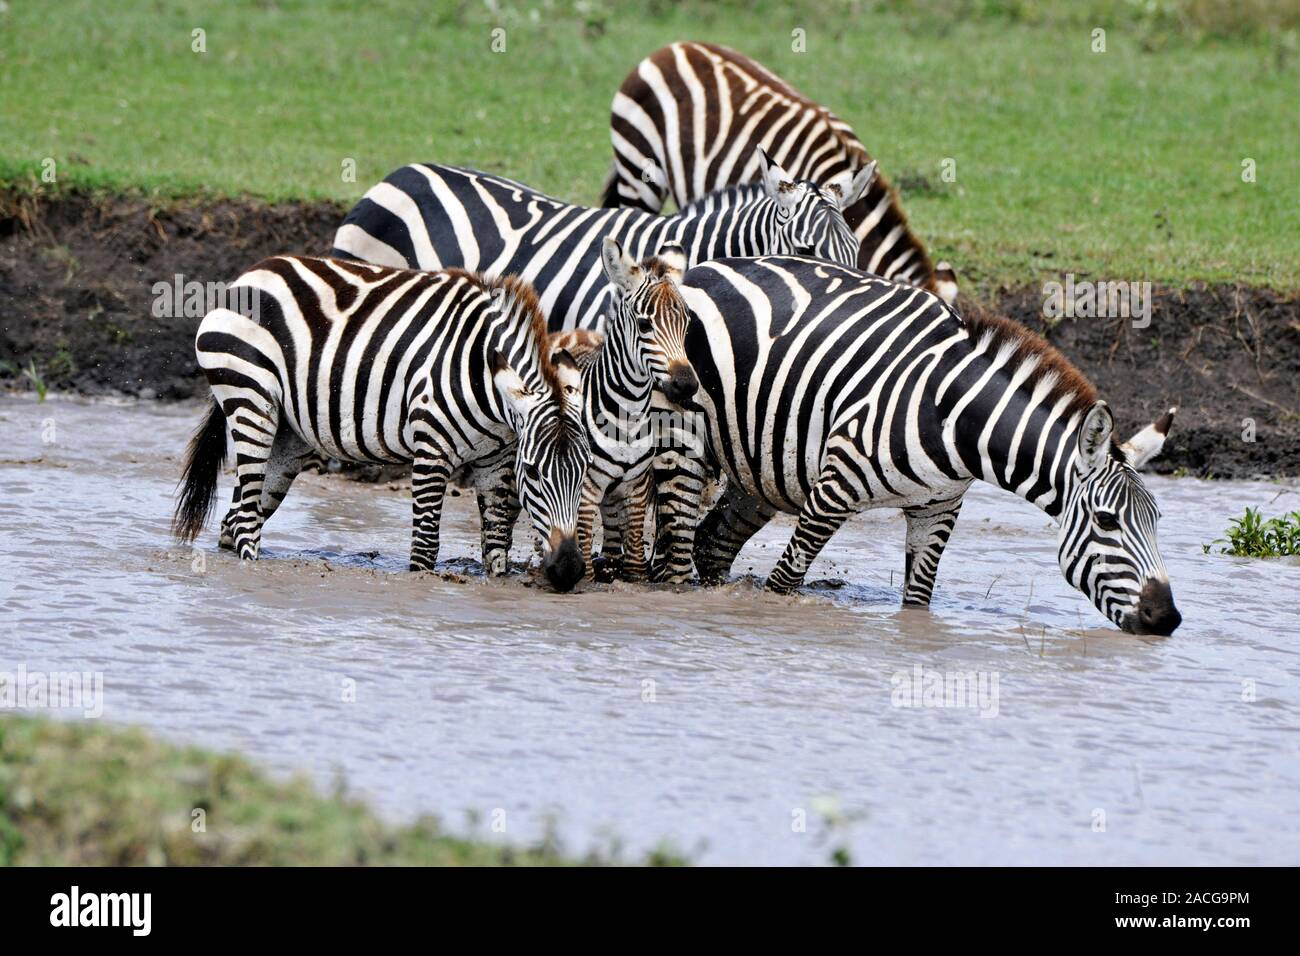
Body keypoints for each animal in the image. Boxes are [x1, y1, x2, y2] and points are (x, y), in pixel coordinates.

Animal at [171, 256, 592, 592]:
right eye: (534, 472)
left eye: (585, 471)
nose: (568, 571)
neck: (485, 379)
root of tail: (252, 273)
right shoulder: (432, 449)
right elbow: (425, 547)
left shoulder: (496, 461)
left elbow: (496, 547)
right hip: (250, 399)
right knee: (244, 521)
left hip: (288, 435)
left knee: (239, 518)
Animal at [659, 255, 1180, 634]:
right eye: (1107, 521)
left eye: (1158, 521)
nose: (1167, 619)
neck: (953, 417)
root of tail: (698, 271)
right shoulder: (831, 495)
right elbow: (782, 583)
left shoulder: (938, 510)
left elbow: (916, 603)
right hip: (686, 444)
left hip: (760, 471)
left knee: (712, 545)